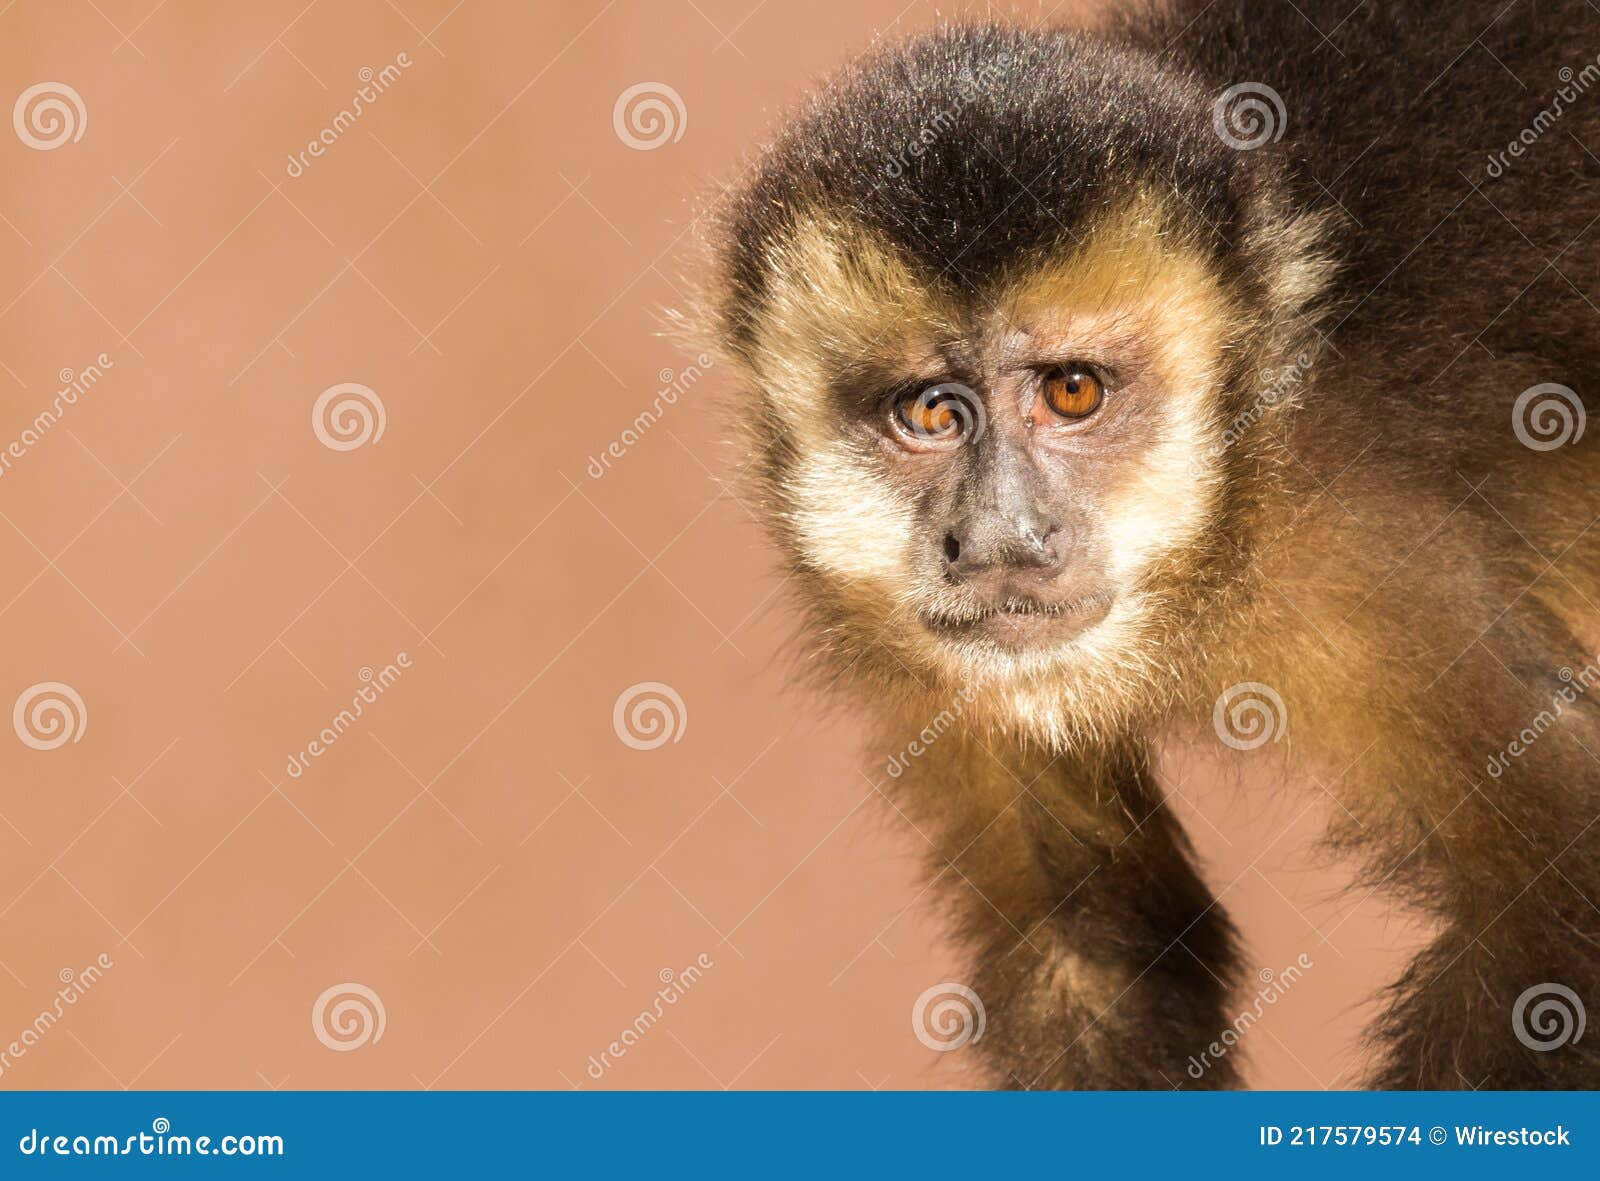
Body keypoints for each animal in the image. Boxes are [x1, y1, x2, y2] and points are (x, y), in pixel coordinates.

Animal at [699, 0, 1600, 1089]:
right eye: (931, 413)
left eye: (1072, 392)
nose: (999, 538)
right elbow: (1089, 948)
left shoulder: (1376, 557)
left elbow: (1558, 921)